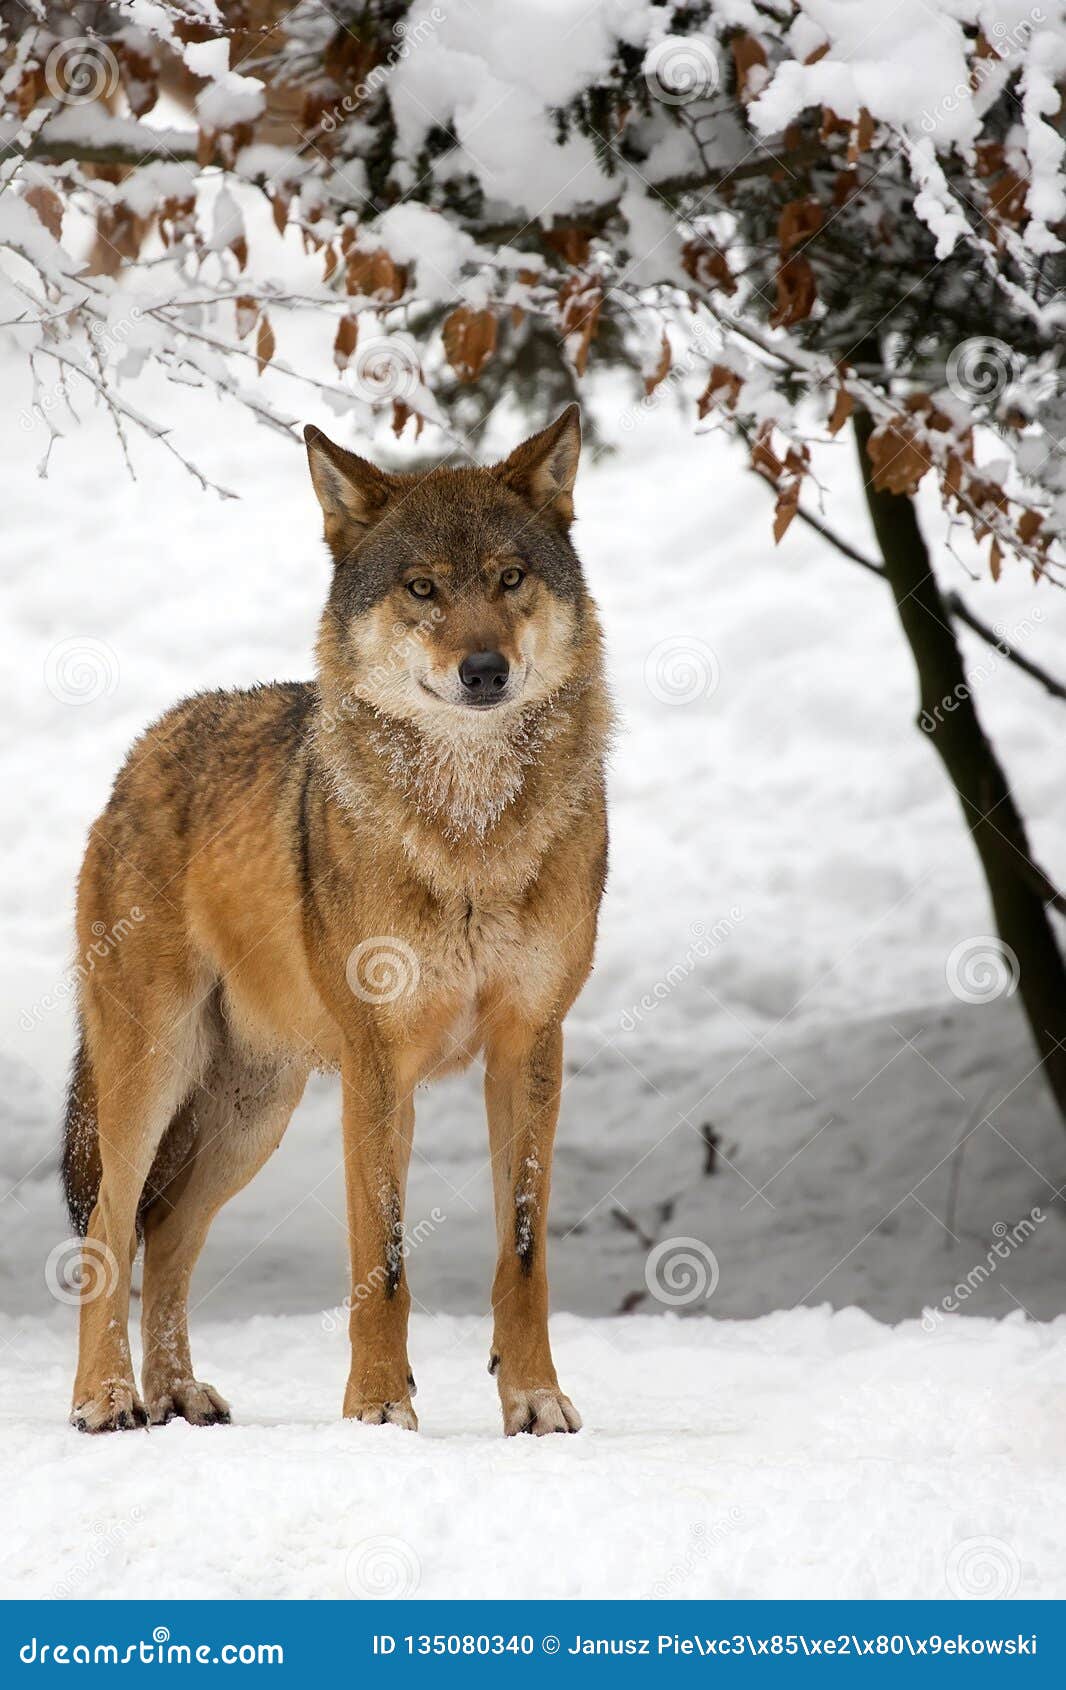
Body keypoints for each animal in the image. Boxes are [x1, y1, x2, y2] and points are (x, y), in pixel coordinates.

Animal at [61, 404, 611, 1436]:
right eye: (423, 589)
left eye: (509, 579)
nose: (485, 669)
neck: (469, 831)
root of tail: (141, 750)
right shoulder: (376, 1063)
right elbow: (381, 1263)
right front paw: (379, 1411)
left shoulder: (532, 1043)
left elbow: (522, 1256)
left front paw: (533, 1401)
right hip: (153, 1072)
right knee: (110, 1227)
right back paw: (106, 1399)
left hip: (253, 1112)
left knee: (168, 1231)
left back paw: (176, 1392)